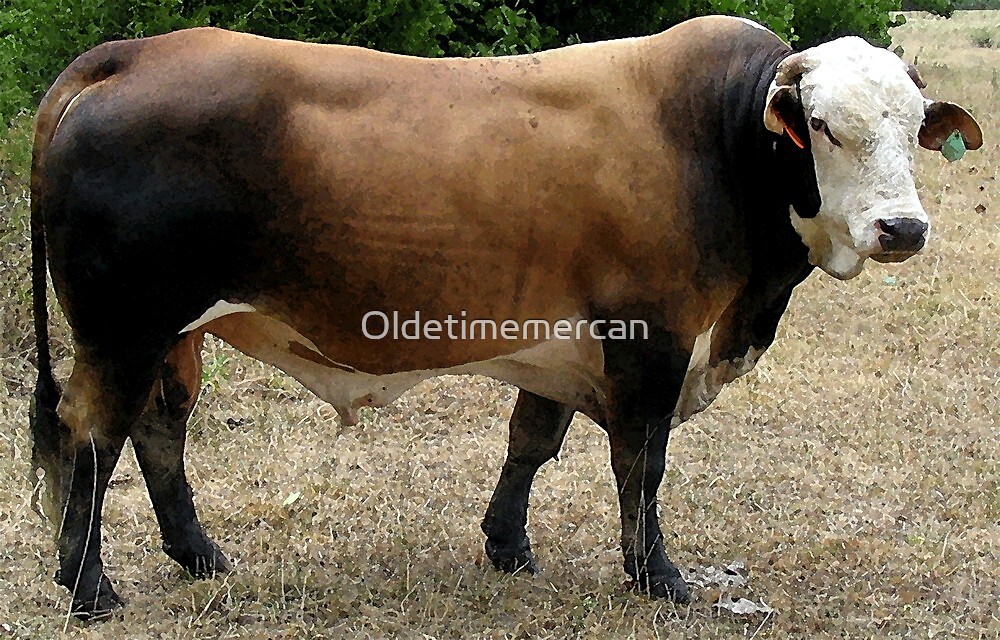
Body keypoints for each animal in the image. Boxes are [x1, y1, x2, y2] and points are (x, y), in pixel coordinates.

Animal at [28, 15, 981, 618]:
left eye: (912, 127)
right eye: (821, 125)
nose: (903, 229)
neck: (716, 136)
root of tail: (131, 55)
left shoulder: (561, 343)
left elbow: (532, 442)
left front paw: (507, 547)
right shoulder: (651, 341)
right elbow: (641, 466)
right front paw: (658, 576)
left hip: (171, 335)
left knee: (158, 430)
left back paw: (198, 555)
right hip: (123, 329)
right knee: (91, 437)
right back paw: (89, 587)